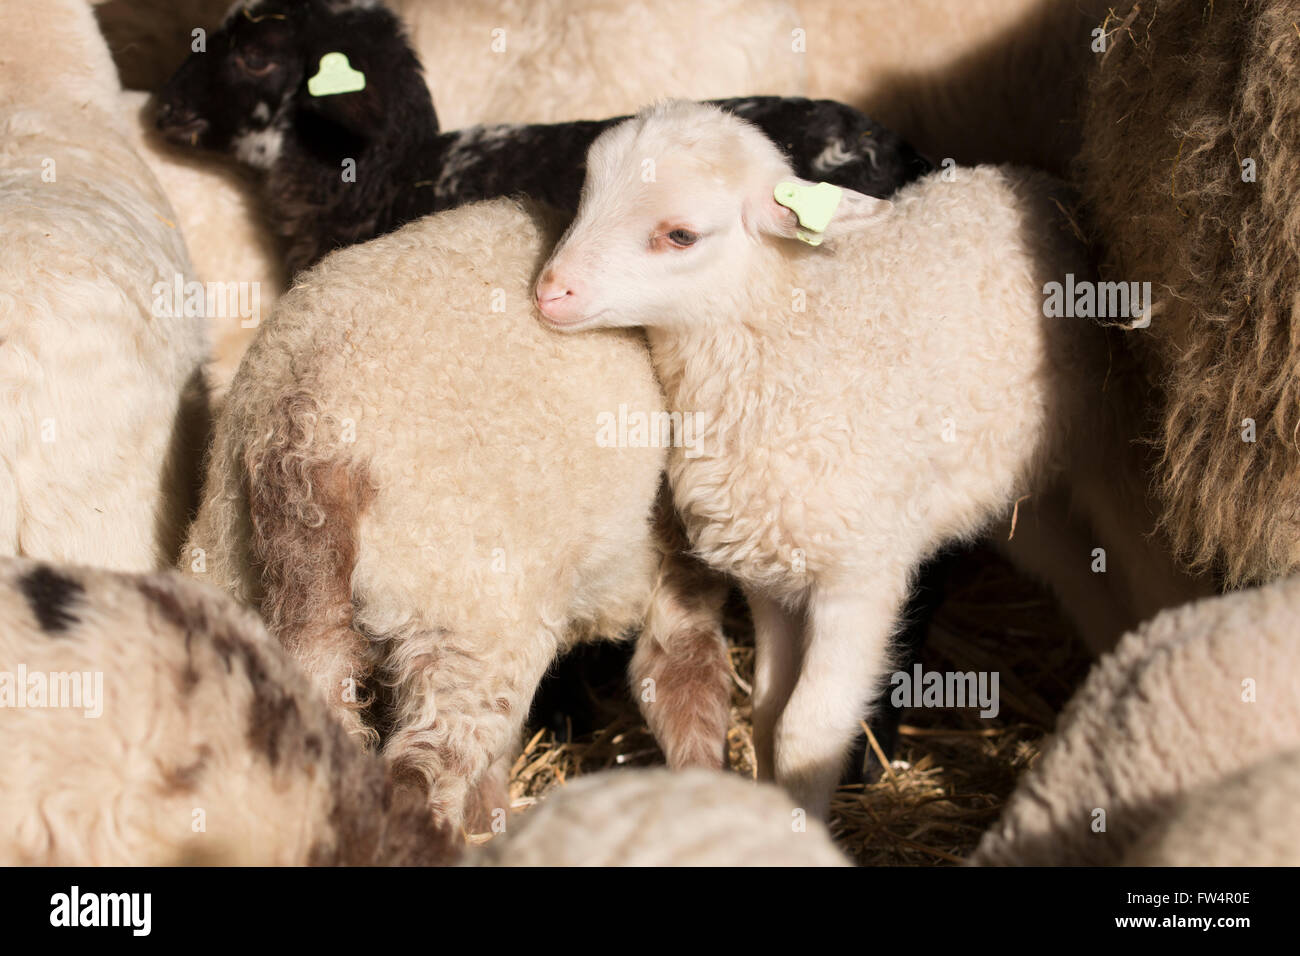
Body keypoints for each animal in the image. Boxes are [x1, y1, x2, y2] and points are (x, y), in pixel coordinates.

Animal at [533, 99, 1123, 816]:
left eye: (680, 236)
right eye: (586, 197)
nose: (549, 291)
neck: (790, 339)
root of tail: (1035, 185)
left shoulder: (860, 573)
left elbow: (805, 731)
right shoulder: (771, 574)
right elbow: (765, 715)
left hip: (1112, 454)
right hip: (1026, 491)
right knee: (1081, 575)